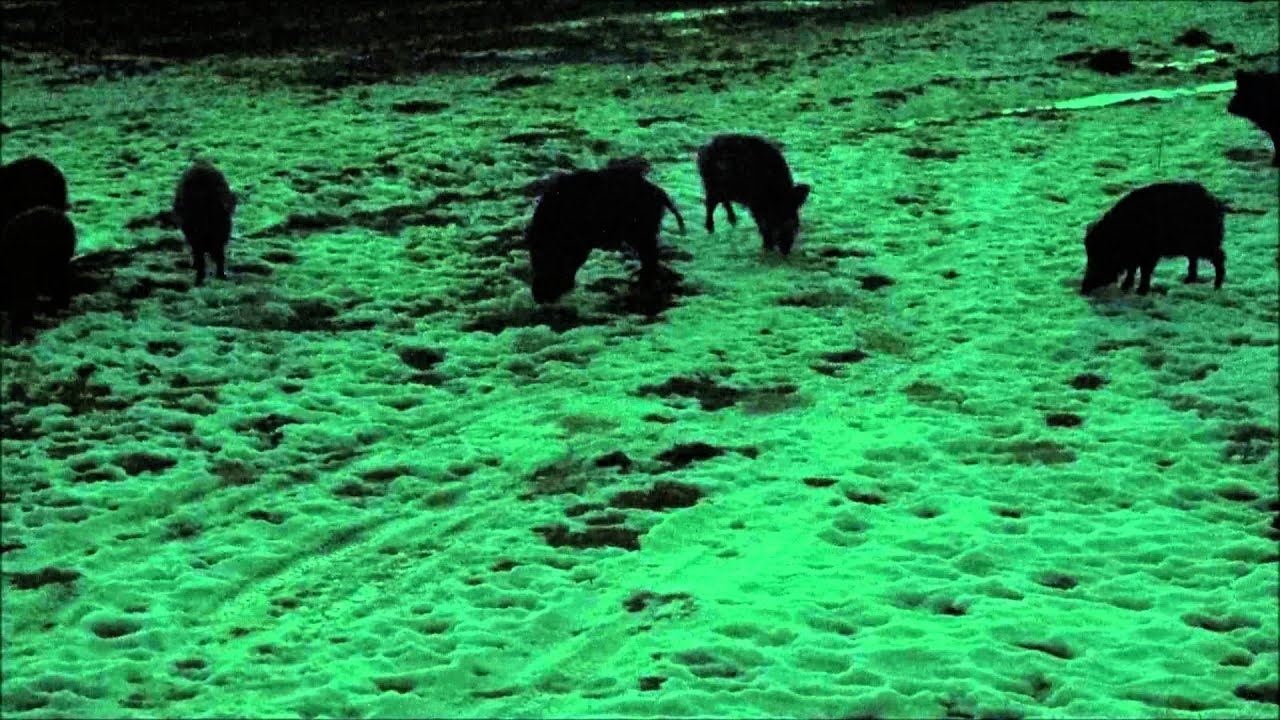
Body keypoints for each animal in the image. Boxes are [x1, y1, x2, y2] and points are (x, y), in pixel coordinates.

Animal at [526, 160, 685, 304]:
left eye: (547, 257)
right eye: (536, 256)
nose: (539, 297)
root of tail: (658, 192)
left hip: (641, 233)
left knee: (650, 257)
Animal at [1080, 181, 1227, 296]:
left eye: (1100, 255)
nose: (1083, 289)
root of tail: (1216, 202)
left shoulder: (1149, 254)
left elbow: (1144, 272)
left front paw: (1140, 292)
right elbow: (1132, 269)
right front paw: (1125, 287)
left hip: (1206, 241)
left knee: (1219, 257)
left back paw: (1216, 287)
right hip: (1193, 245)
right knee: (1194, 258)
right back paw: (1188, 280)